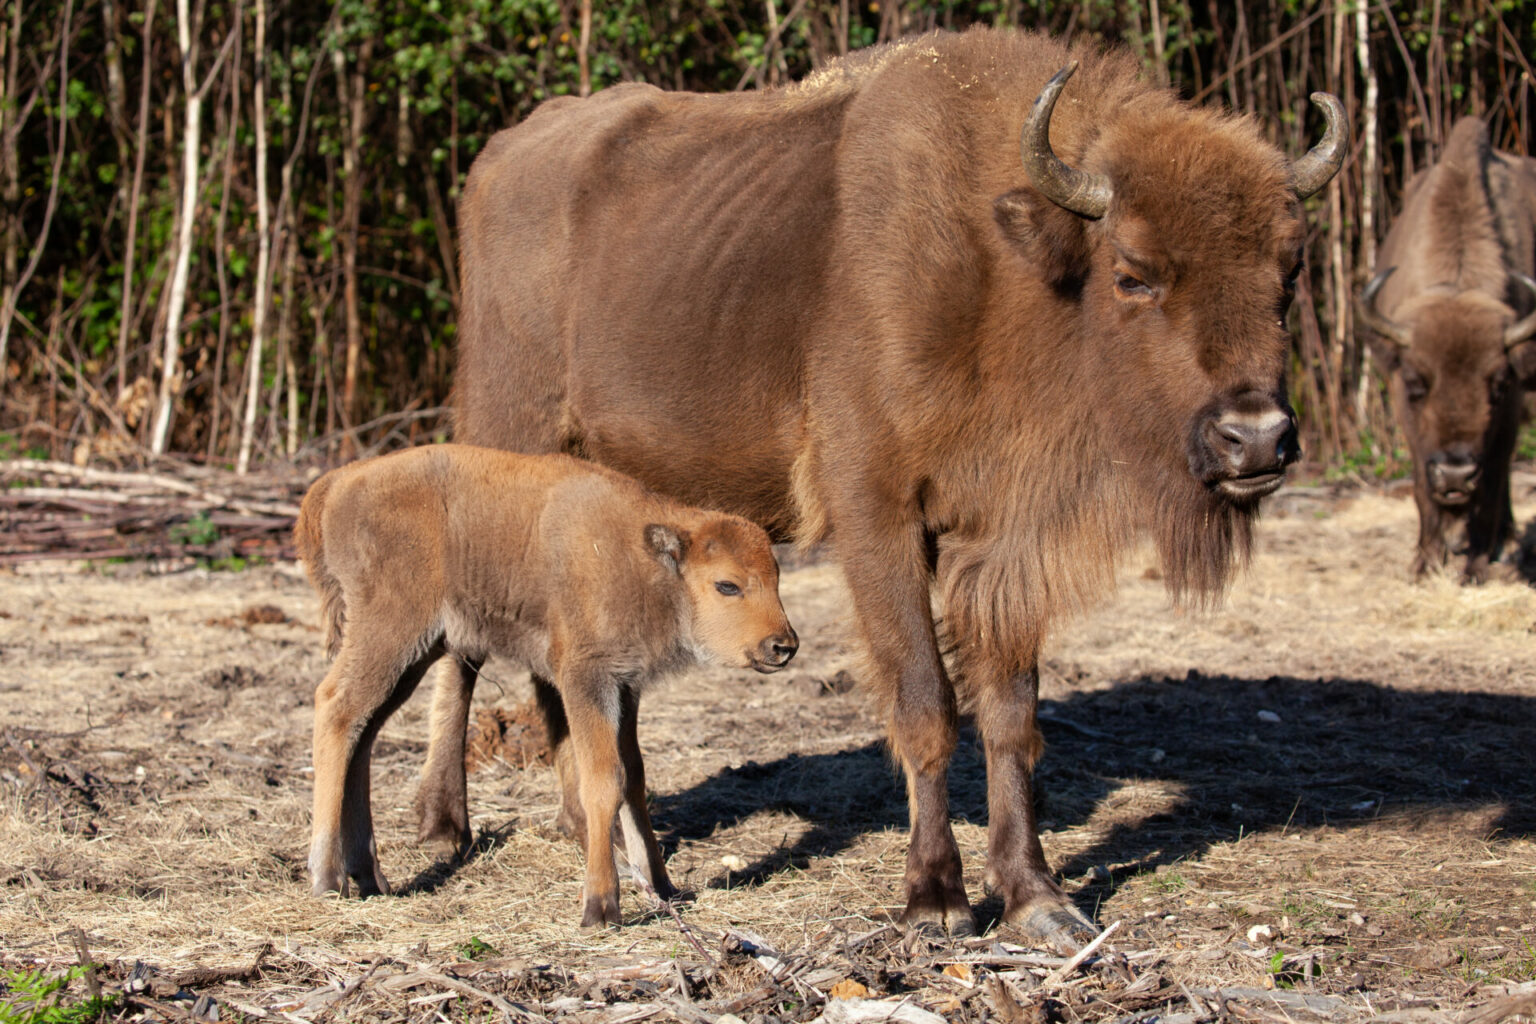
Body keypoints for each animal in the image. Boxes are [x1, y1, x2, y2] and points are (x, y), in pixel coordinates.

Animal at [294, 444, 798, 929]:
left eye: (776, 578)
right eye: (727, 585)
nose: (783, 646)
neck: (643, 559)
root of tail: (335, 484)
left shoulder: (625, 686)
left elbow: (634, 778)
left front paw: (664, 887)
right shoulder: (585, 679)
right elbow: (603, 780)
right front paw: (601, 907)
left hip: (413, 653)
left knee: (362, 733)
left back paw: (369, 878)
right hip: (391, 633)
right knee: (334, 710)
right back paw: (328, 879)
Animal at [443, 27, 1346, 950]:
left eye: (1289, 270)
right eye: (1133, 272)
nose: (1256, 436)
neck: (1000, 264)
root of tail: (500, 159)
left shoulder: (1000, 541)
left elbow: (1010, 714)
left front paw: (1036, 897)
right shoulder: (878, 516)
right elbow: (925, 704)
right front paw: (936, 898)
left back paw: (588, 833)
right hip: (503, 444)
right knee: (464, 646)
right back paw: (445, 829)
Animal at [1357, 117, 1536, 583]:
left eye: (1498, 384)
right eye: (1416, 383)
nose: (1455, 475)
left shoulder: (1511, 409)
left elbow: (1493, 483)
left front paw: (1475, 566)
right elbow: (1421, 486)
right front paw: (1424, 563)